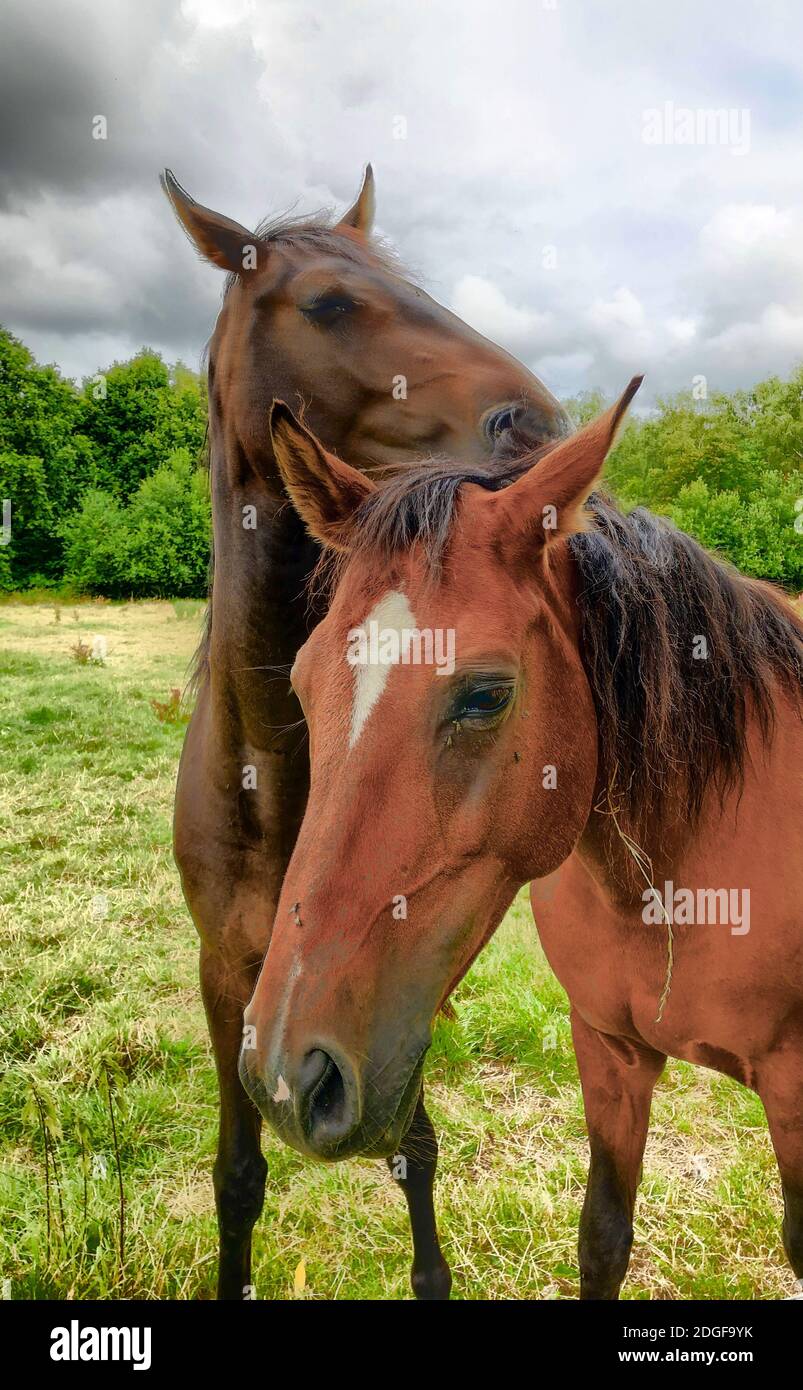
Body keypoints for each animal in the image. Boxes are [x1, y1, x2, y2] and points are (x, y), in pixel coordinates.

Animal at [161, 164, 572, 1300]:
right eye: (329, 303)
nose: (540, 425)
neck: (275, 777)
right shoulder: (230, 980)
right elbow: (238, 1176)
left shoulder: (399, 975)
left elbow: (412, 1148)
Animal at [239, 385, 803, 1299]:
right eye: (300, 681)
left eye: (485, 694)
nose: (291, 1081)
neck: (673, 885)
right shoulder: (607, 1051)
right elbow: (602, 1237)